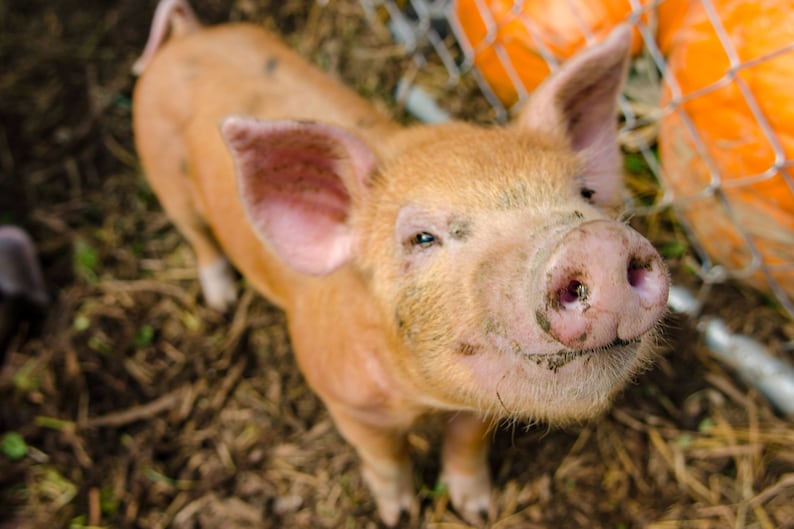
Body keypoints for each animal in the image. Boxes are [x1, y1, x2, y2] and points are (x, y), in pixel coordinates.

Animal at [132, 0, 669, 524]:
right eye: (421, 238)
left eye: (586, 194)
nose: (596, 240)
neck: (424, 402)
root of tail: (188, 39)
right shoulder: (345, 403)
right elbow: (385, 459)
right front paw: (398, 515)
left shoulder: (478, 403)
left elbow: (466, 446)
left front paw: (478, 511)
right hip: (165, 179)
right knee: (198, 237)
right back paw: (221, 300)